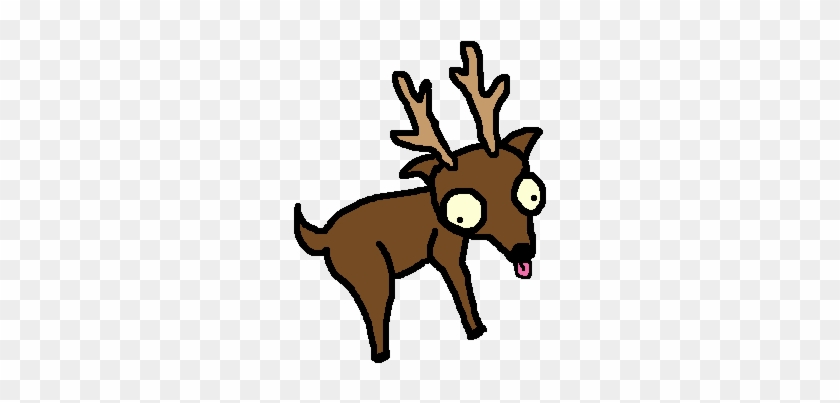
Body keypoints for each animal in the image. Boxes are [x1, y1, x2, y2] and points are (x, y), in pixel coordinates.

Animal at [294, 41, 546, 363]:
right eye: (463, 214)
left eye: (531, 195)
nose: (523, 250)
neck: (435, 208)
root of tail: (324, 235)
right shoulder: (445, 252)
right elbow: (462, 284)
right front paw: (476, 330)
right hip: (374, 276)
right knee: (376, 311)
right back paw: (381, 355)